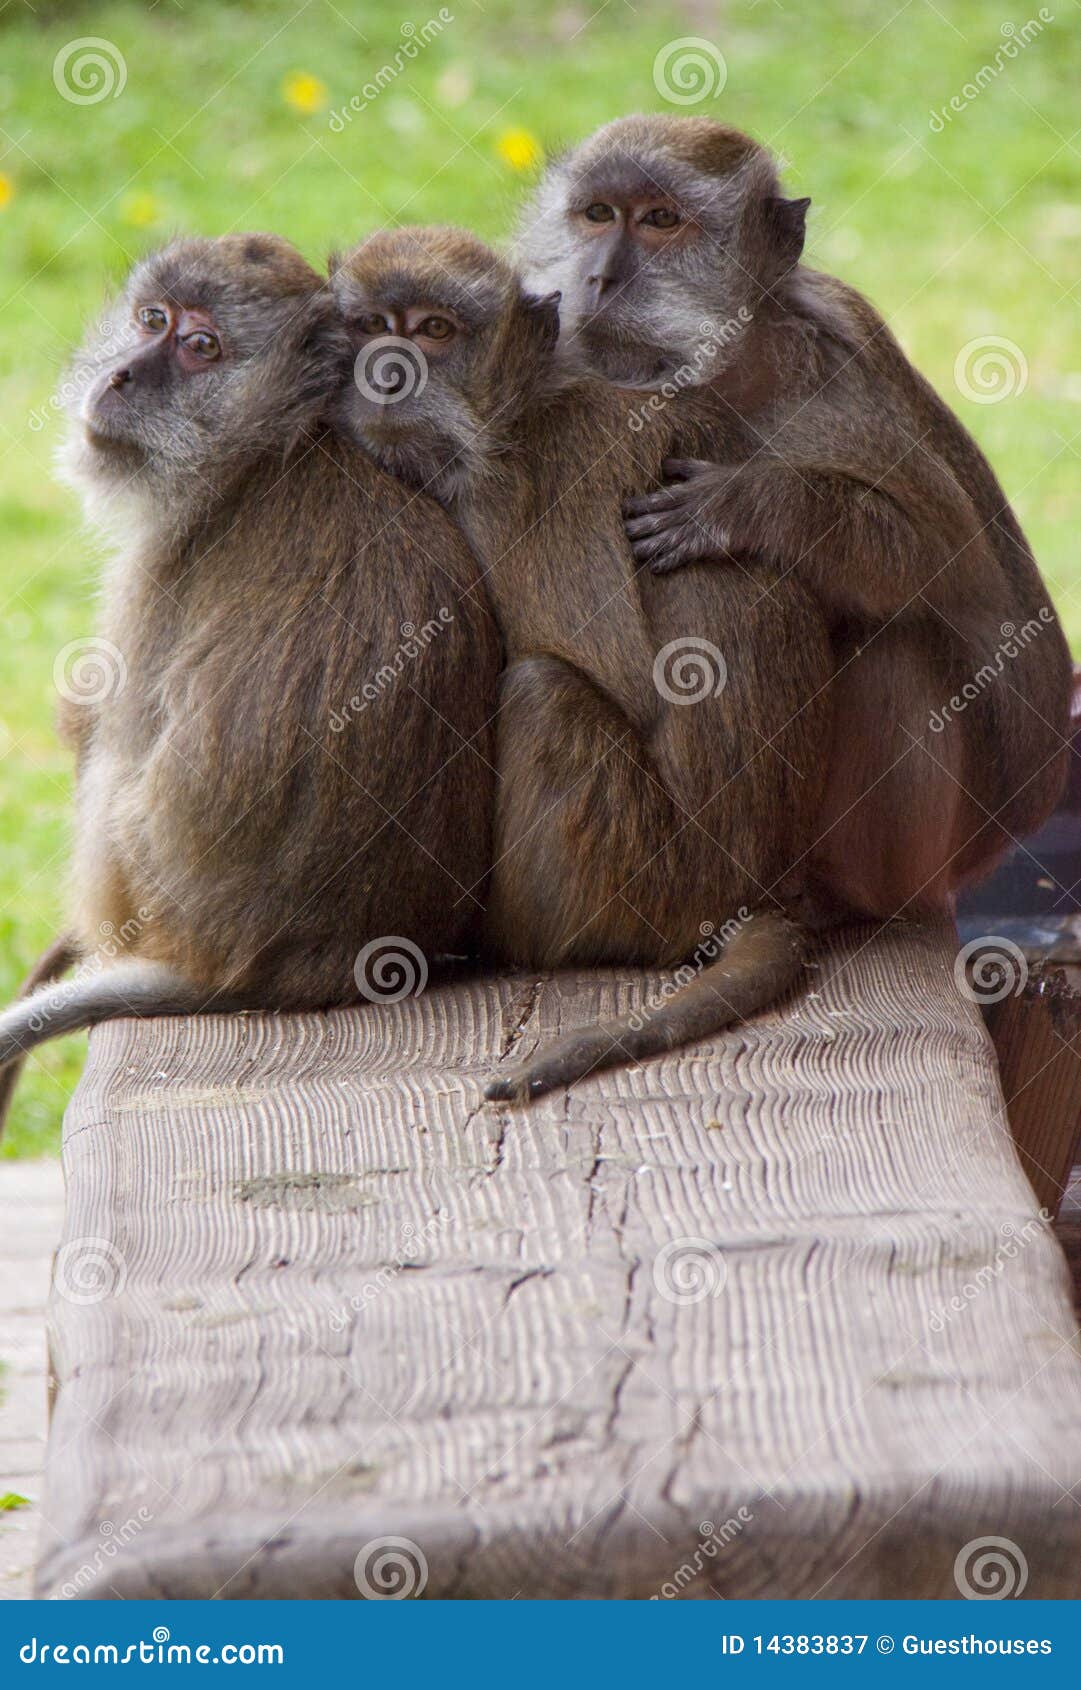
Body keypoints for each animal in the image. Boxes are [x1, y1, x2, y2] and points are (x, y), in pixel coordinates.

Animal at [0, 234, 500, 1088]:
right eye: (153, 319)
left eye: (201, 348)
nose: (122, 373)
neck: (267, 451)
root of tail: (281, 971)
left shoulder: (155, 577)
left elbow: (110, 737)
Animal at [331, 227, 835, 1102]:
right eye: (369, 328)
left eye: (432, 332)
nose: (386, 374)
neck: (515, 412)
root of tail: (751, 887)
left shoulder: (494, 506)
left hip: (645, 880)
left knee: (539, 693)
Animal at [515, 114, 1072, 920]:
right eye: (597, 214)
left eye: (660, 221)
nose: (599, 279)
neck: (732, 368)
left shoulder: (841, 394)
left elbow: (949, 565)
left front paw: (745, 506)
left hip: (930, 854)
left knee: (897, 646)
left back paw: (850, 898)